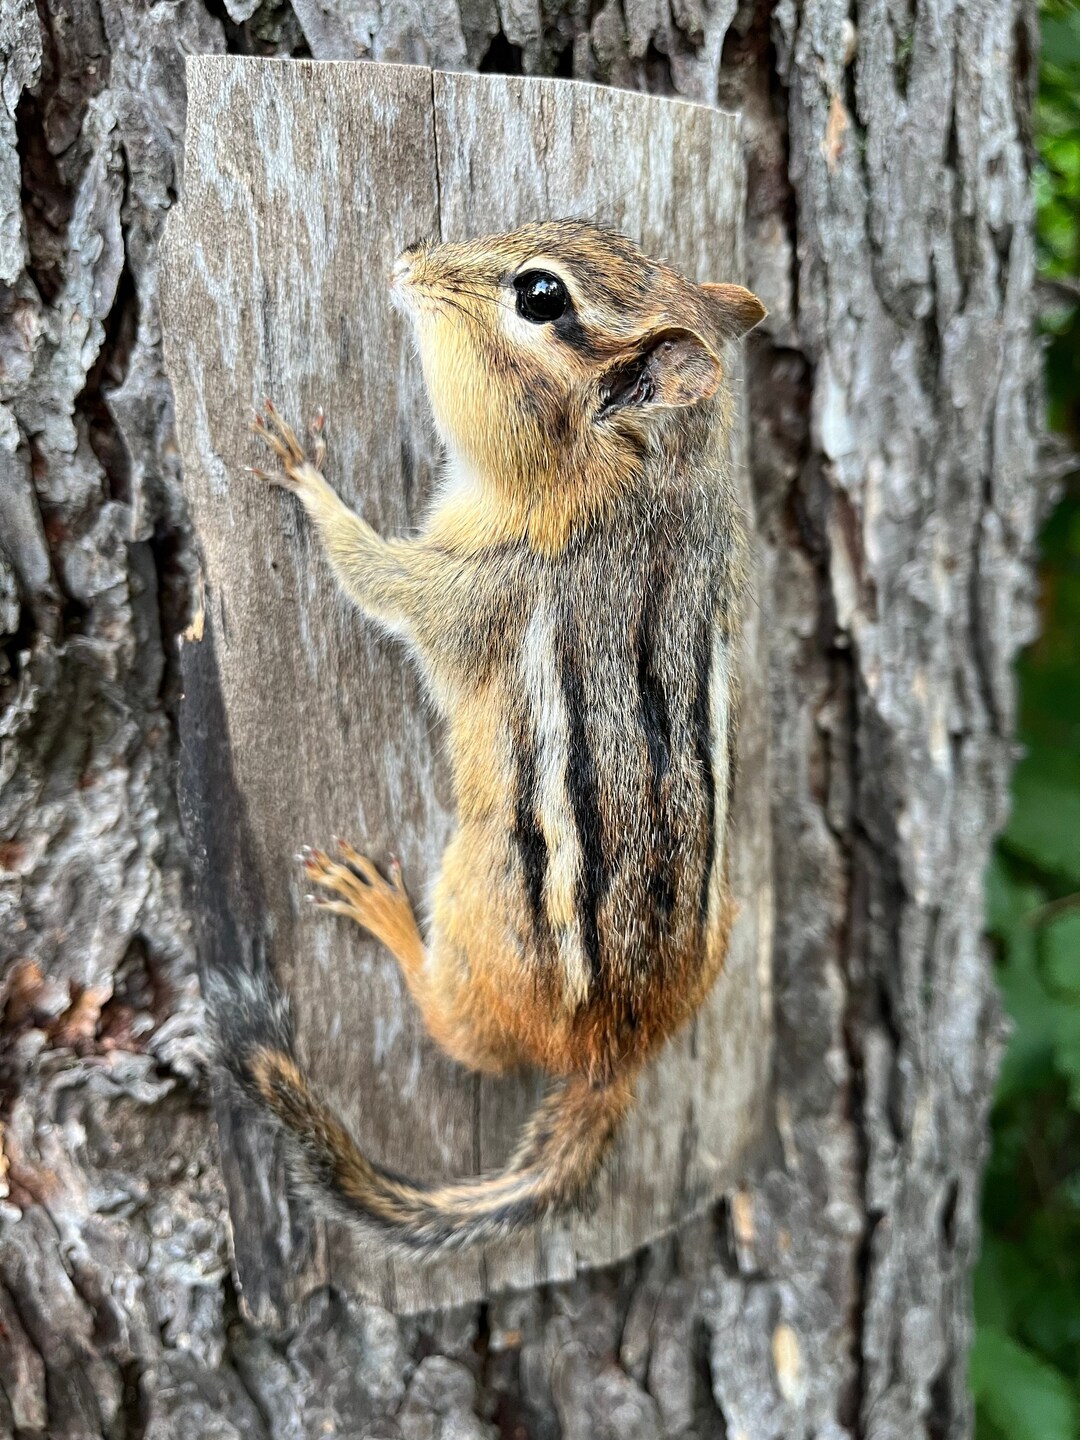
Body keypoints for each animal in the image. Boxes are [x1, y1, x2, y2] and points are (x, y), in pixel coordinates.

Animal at [208, 220, 765, 1253]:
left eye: (541, 296)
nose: (408, 260)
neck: (650, 478)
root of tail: (615, 1049)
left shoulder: (476, 585)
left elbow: (375, 576)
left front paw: (307, 478)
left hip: (476, 903)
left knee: (458, 1030)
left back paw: (383, 910)